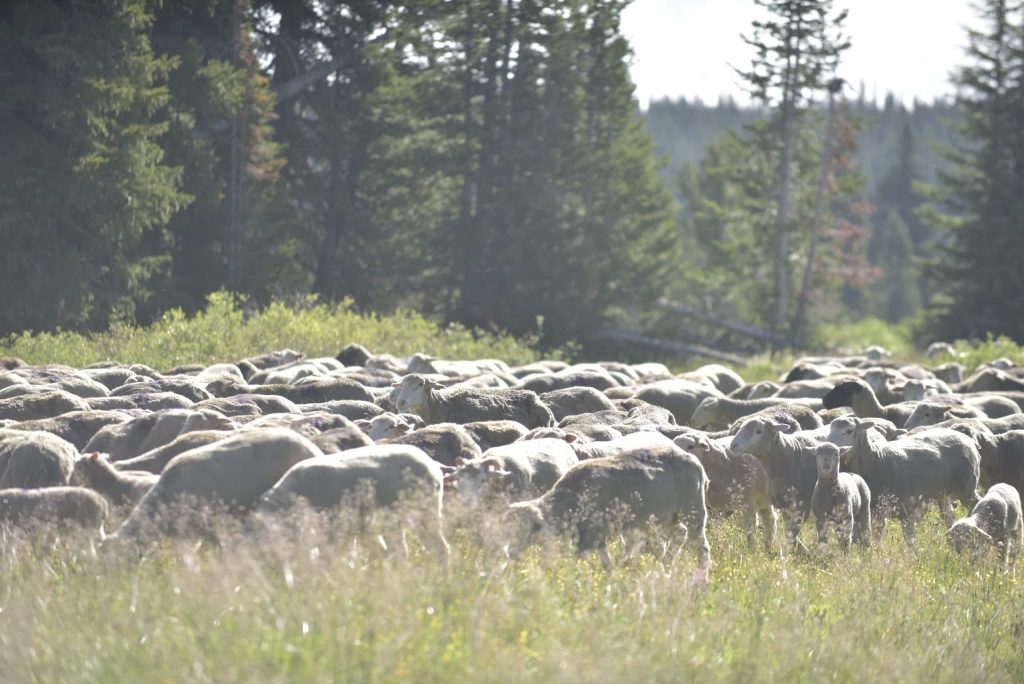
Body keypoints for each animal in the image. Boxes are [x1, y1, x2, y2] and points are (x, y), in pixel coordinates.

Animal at [502, 432, 710, 569]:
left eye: (523, 529)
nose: (508, 554)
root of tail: (692, 459)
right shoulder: (596, 533)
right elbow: (605, 560)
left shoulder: (592, 533)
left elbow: (577, 559)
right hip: (668, 516)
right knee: (680, 534)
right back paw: (665, 566)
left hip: (694, 508)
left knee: (702, 545)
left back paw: (701, 578)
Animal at [839, 421, 981, 546]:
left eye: (850, 431)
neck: (876, 459)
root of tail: (964, 435)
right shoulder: (877, 512)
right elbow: (875, 537)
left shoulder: (906, 511)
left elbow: (909, 540)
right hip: (943, 495)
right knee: (949, 517)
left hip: (966, 489)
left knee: (975, 504)